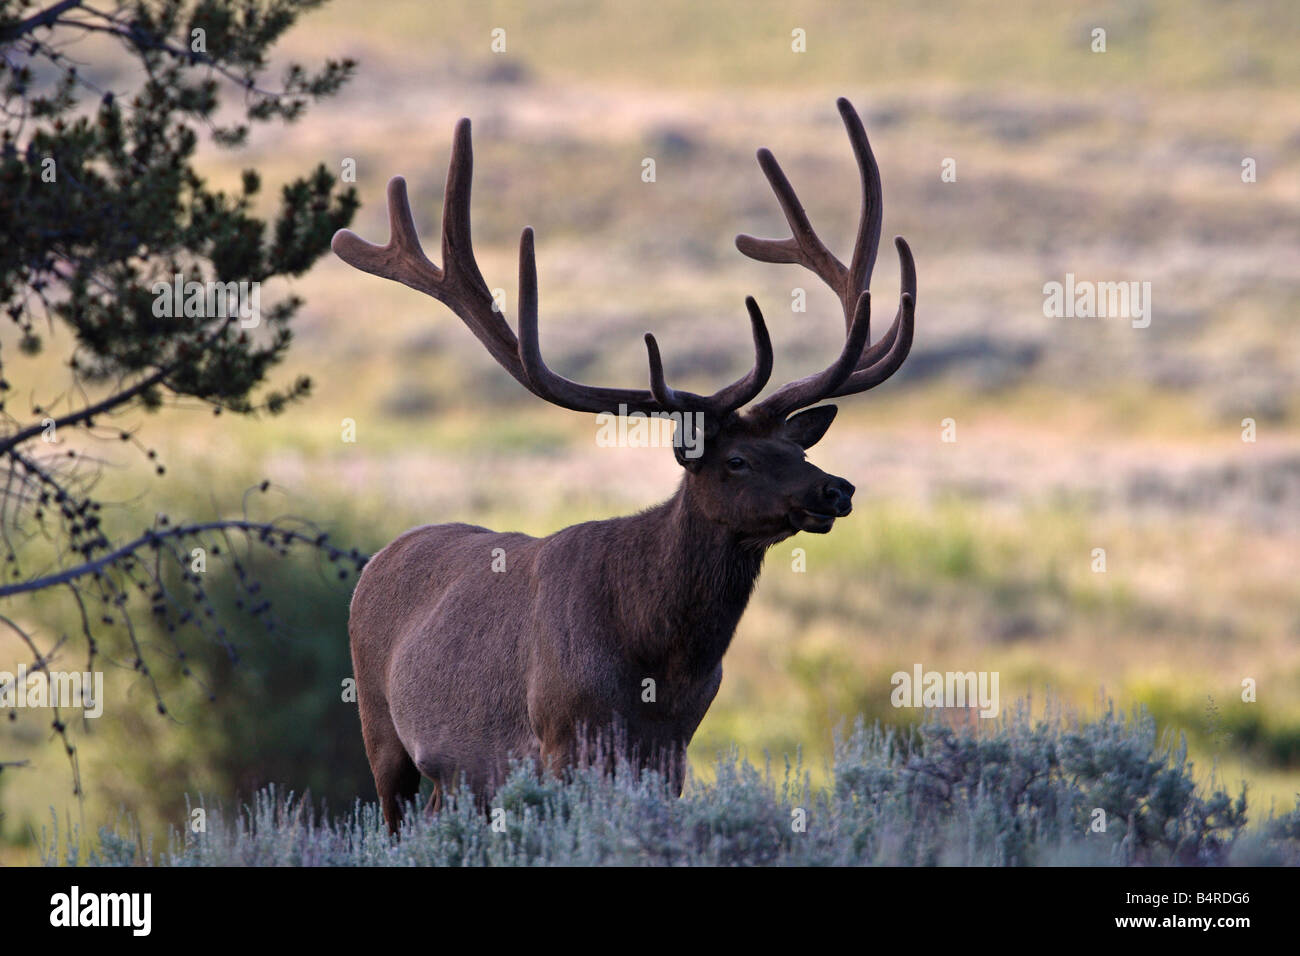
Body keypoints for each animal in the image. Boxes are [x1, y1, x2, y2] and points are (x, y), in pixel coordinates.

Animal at [333, 98, 916, 833]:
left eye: (799, 449)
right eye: (736, 460)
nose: (836, 489)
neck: (658, 665)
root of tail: (379, 557)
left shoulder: (671, 753)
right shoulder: (559, 736)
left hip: (454, 775)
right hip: (382, 734)